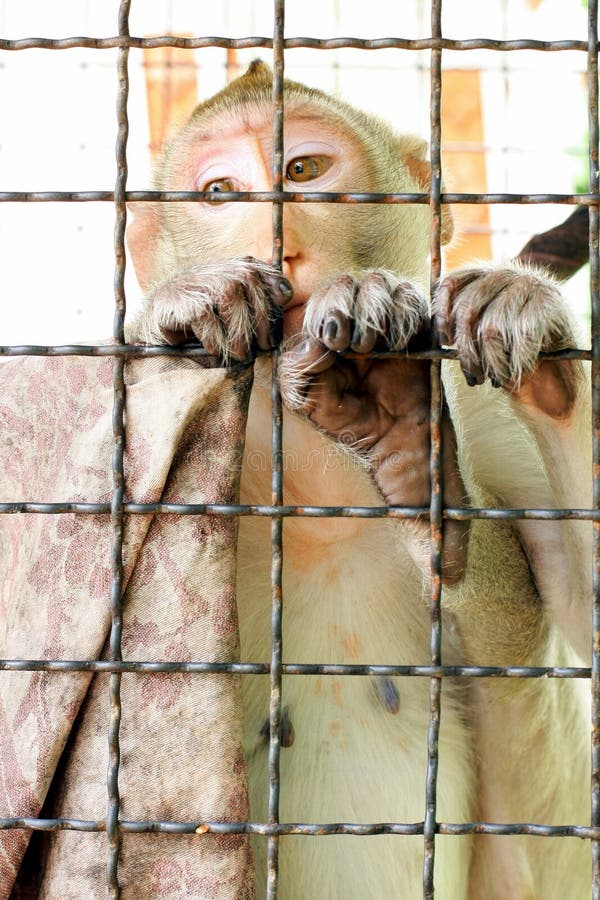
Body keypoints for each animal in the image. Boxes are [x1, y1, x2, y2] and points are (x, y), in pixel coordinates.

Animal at [126, 60, 592, 899]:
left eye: (304, 170)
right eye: (221, 192)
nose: (278, 246)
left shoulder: (481, 413)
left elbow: (583, 614)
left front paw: (524, 308)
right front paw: (176, 317)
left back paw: (422, 474)